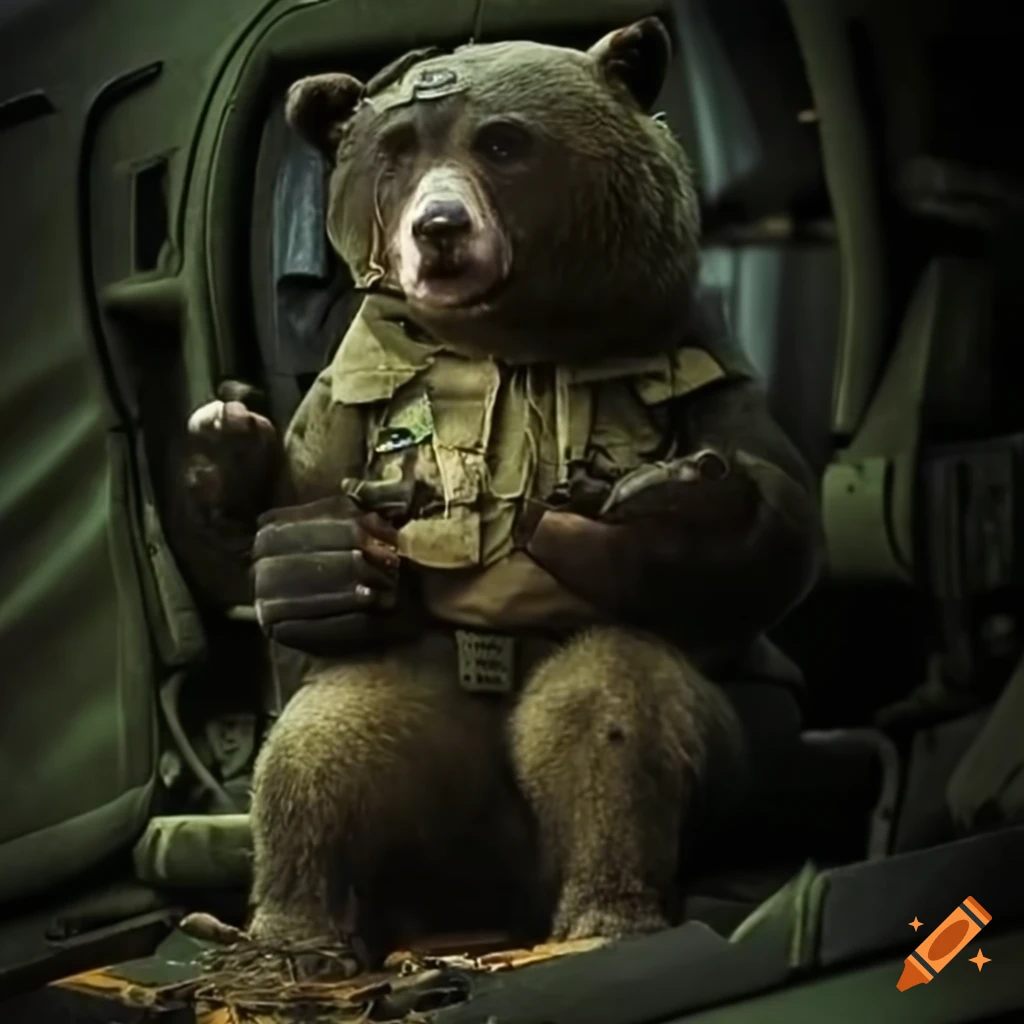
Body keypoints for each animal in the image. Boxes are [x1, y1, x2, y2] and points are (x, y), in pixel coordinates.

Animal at [173, 17, 823, 976]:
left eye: (503, 142)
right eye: (398, 150)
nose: (439, 226)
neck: (511, 345)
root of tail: (498, 891)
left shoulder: (697, 351)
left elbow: (776, 514)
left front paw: (671, 500)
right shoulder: (344, 392)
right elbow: (283, 520)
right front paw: (232, 451)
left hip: (754, 748)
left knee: (611, 712)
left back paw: (604, 919)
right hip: (423, 700)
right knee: (323, 748)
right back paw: (296, 941)